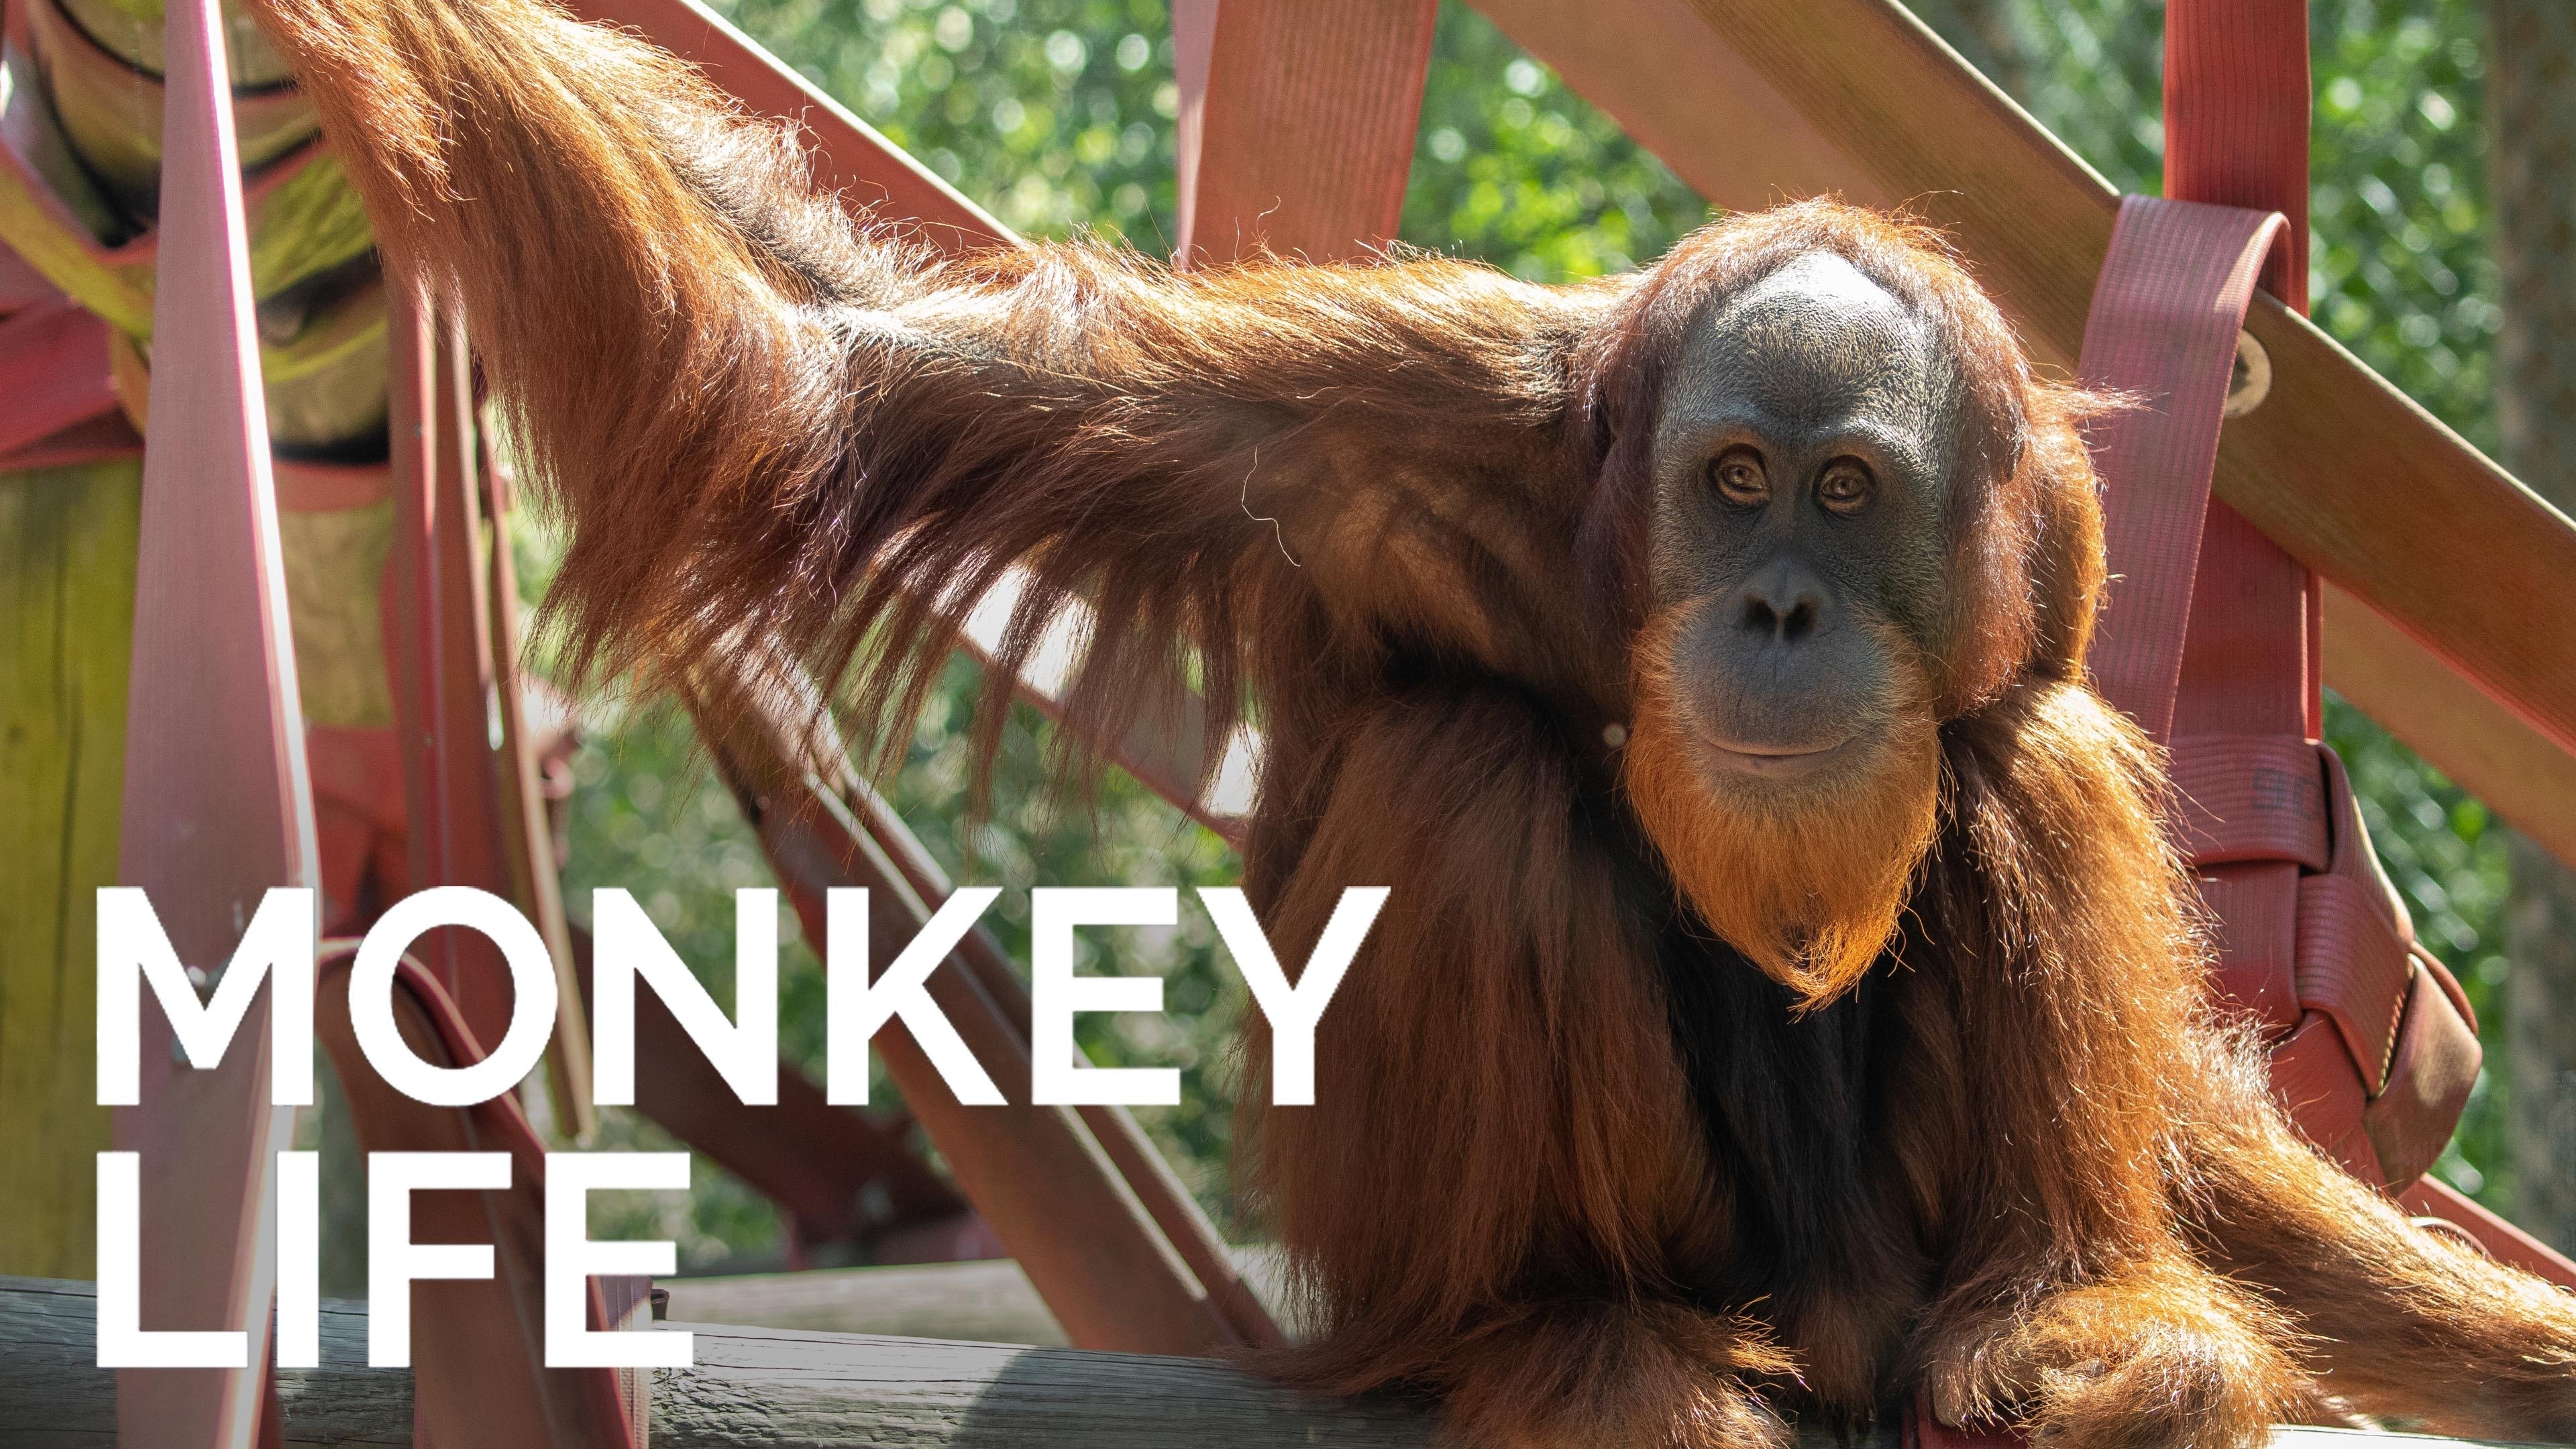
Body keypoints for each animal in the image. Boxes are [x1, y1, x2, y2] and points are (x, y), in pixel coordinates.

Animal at [246, 2, 2576, 1446]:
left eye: (1846, 493)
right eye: (1736, 478)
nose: (1783, 604)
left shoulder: (2055, 563)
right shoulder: (1359, 421)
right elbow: (852, 362)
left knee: (2037, 772)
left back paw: (2074, 1319)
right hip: (1412, 1256)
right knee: (1469, 774)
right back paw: (1565, 1342)